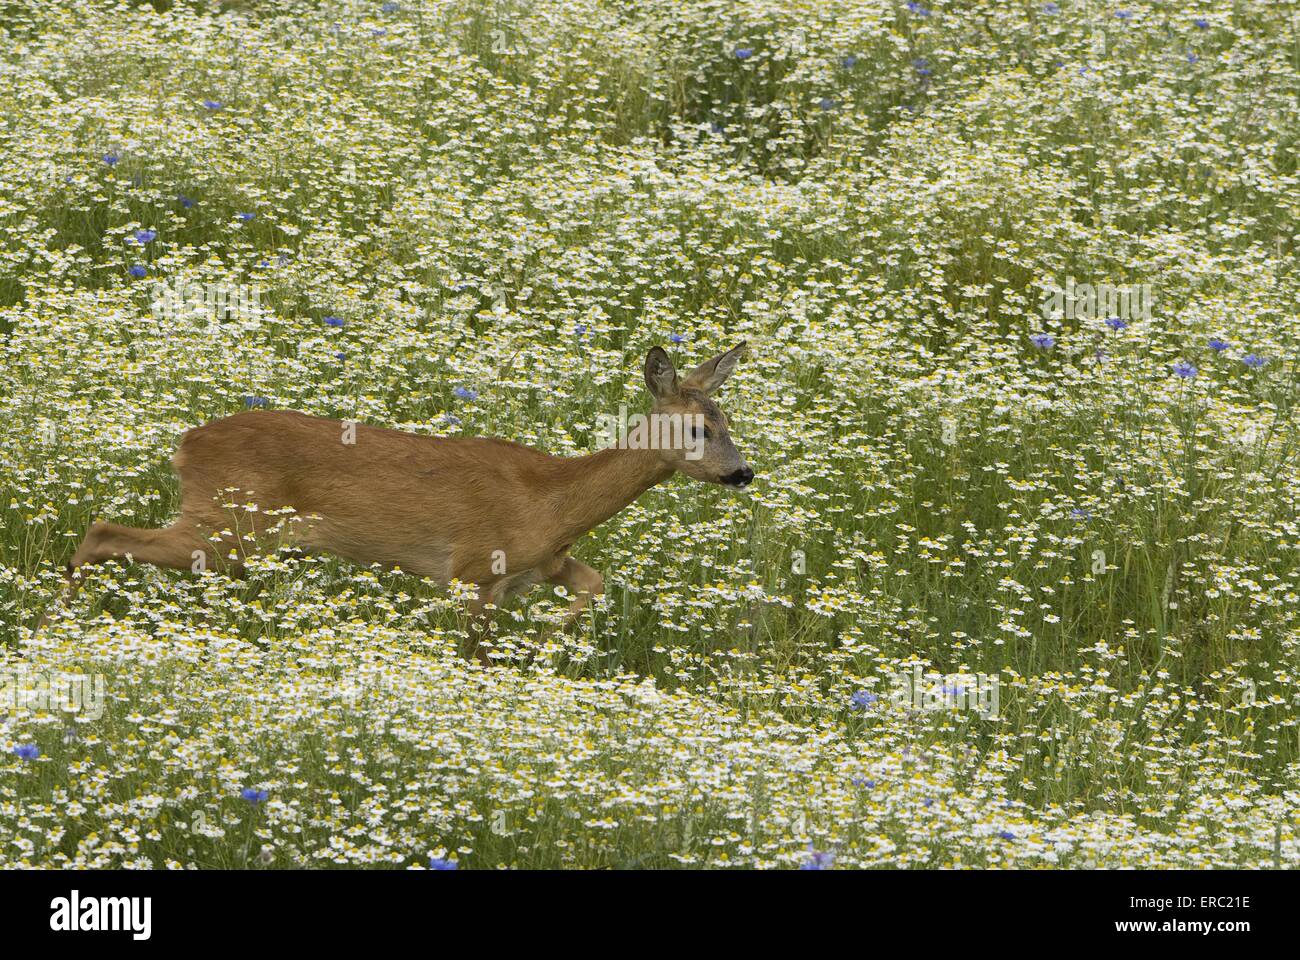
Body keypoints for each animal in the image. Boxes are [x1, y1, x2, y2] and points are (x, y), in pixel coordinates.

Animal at [44, 343, 754, 661]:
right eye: (698, 429)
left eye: (727, 420)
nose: (743, 473)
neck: (553, 501)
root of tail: (184, 444)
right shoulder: (472, 569)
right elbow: (472, 649)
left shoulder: (542, 564)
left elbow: (597, 582)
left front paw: (548, 644)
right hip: (226, 524)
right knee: (102, 530)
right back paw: (59, 625)